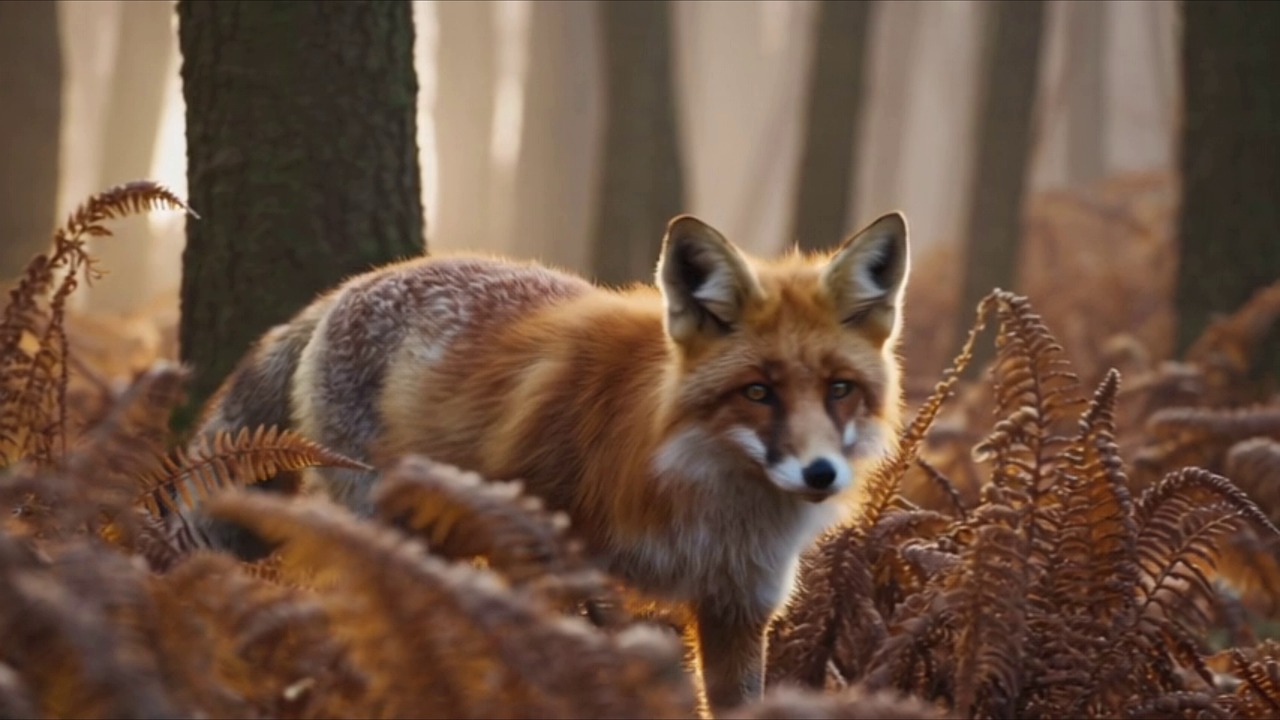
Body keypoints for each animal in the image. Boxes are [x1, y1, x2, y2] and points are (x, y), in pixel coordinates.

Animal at [184, 210, 911, 715]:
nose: (822, 475)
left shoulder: (738, 608)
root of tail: (346, 288)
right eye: (758, 392)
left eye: (839, 389)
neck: (699, 497)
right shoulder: (567, 570)